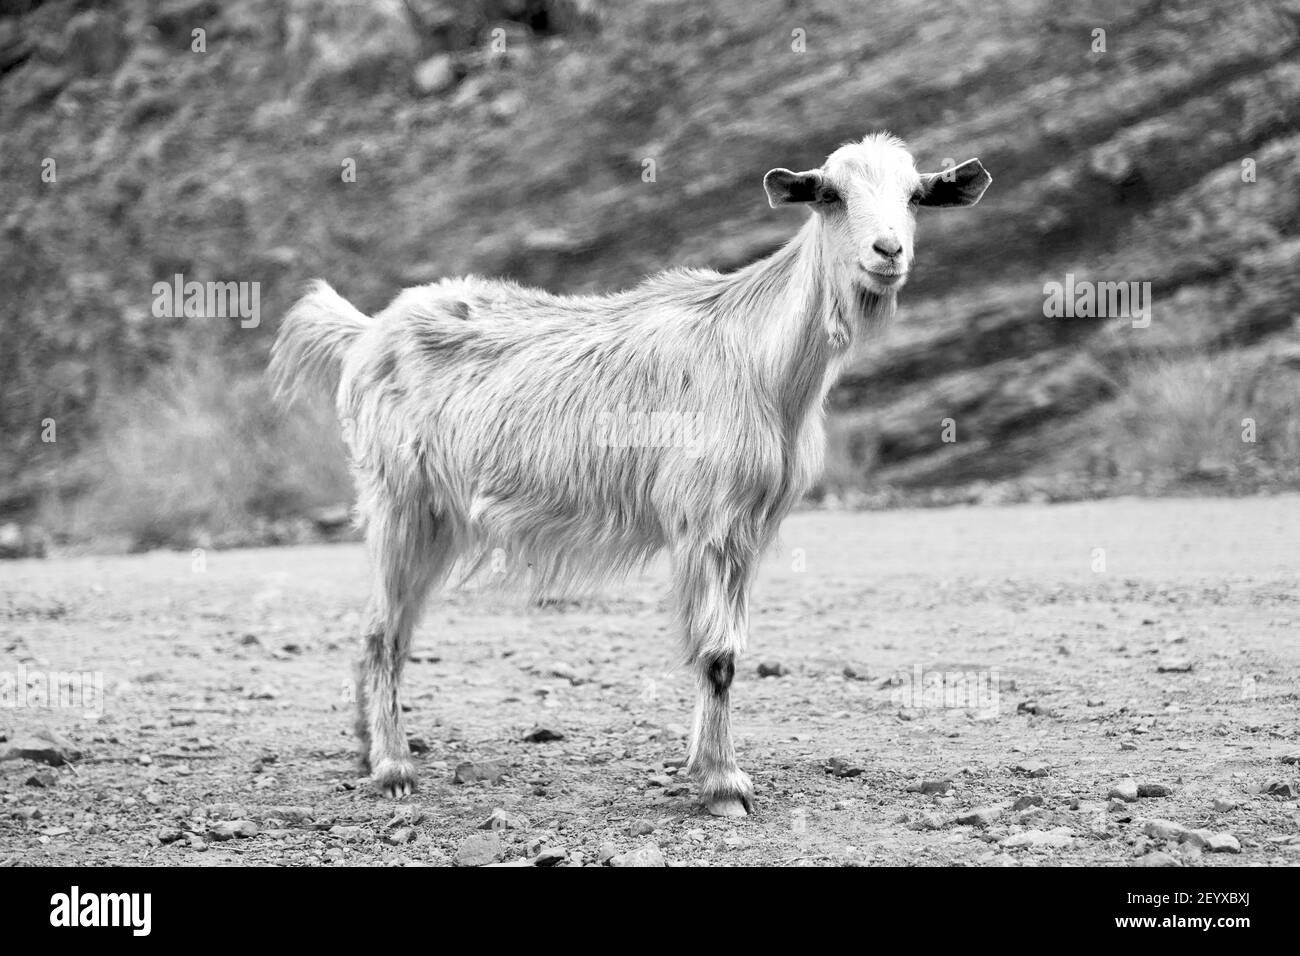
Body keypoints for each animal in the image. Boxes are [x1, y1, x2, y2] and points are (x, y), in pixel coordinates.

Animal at [270, 133, 990, 816]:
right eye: (831, 195)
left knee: (381, 626)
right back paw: (393, 768)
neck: (762, 362)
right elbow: (718, 655)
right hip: (400, 499)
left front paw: (702, 767)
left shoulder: (749, 528)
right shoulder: (705, 519)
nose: (888, 250)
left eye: (916, 196)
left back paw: (367, 747)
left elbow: (725, 650)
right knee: (384, 632)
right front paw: (723, 785)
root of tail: (366, 332)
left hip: (434, 516)